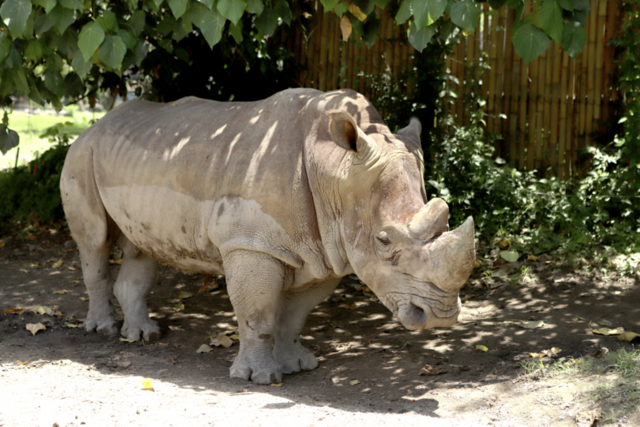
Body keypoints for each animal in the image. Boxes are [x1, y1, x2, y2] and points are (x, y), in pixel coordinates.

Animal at [60, 88, 475, 384]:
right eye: (384, 241)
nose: (439, 317)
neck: (336, 172)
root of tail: (94, 125)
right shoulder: (250, 245)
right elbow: (258, 311)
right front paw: (258, 378)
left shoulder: (322, 251)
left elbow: (293, 316)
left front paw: (299, 366)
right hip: (81, 154)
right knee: (94, 241)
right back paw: (104, 329)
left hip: (132, 157)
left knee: (140, 248)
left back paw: (142, 335)